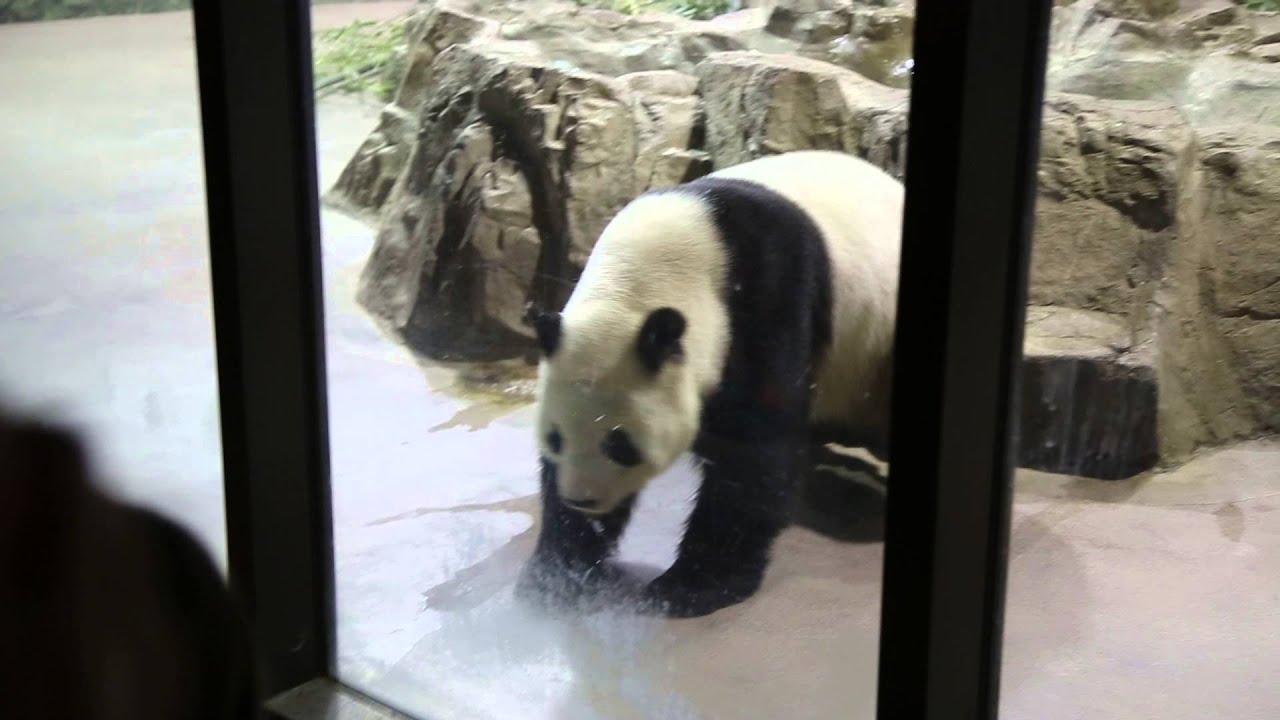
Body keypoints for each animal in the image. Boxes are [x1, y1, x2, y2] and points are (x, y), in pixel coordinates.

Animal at [516, 150, 902, 618]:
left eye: (620, 443)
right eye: (555, 438)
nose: (583, 498)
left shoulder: (769, 293)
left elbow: (753, 452)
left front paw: (688, 587)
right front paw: (557, 574)